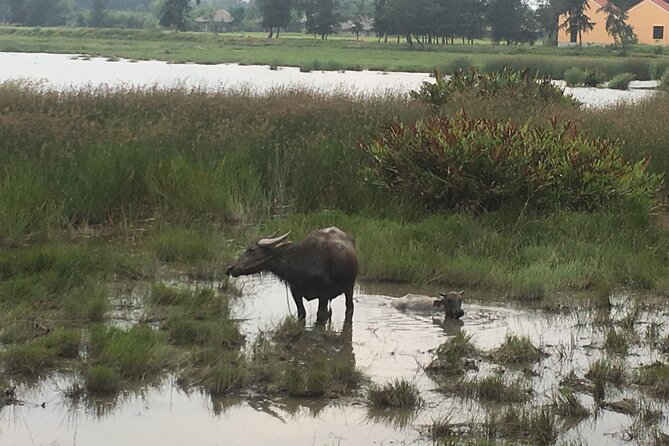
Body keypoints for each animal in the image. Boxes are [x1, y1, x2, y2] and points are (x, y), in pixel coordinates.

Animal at [226, 227, 359, 322]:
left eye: (251, 250)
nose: (230, 269)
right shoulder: (295, 292)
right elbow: (302, 313)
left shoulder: (324, 294)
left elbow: (320, 315)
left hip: (349, 287)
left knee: (349, 307)